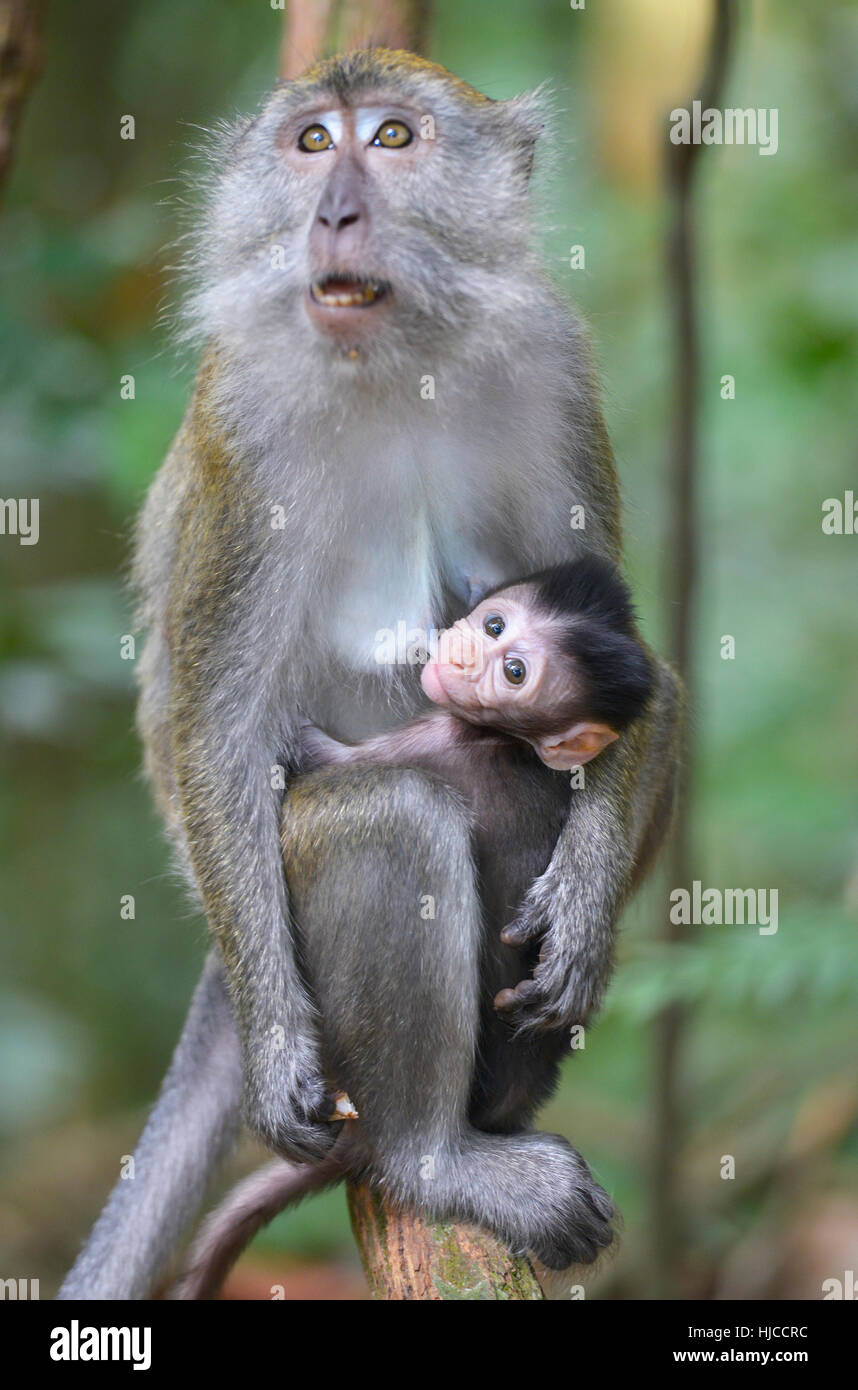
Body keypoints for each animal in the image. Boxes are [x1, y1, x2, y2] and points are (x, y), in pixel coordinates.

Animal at [172, 556, 655, 1296]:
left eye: (515, 672)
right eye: (496, 624)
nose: (464, 651)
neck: (505, 742)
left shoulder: (438, 737)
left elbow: (328, 761)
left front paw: (290, 734)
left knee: (403, 809)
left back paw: (432, 1162)